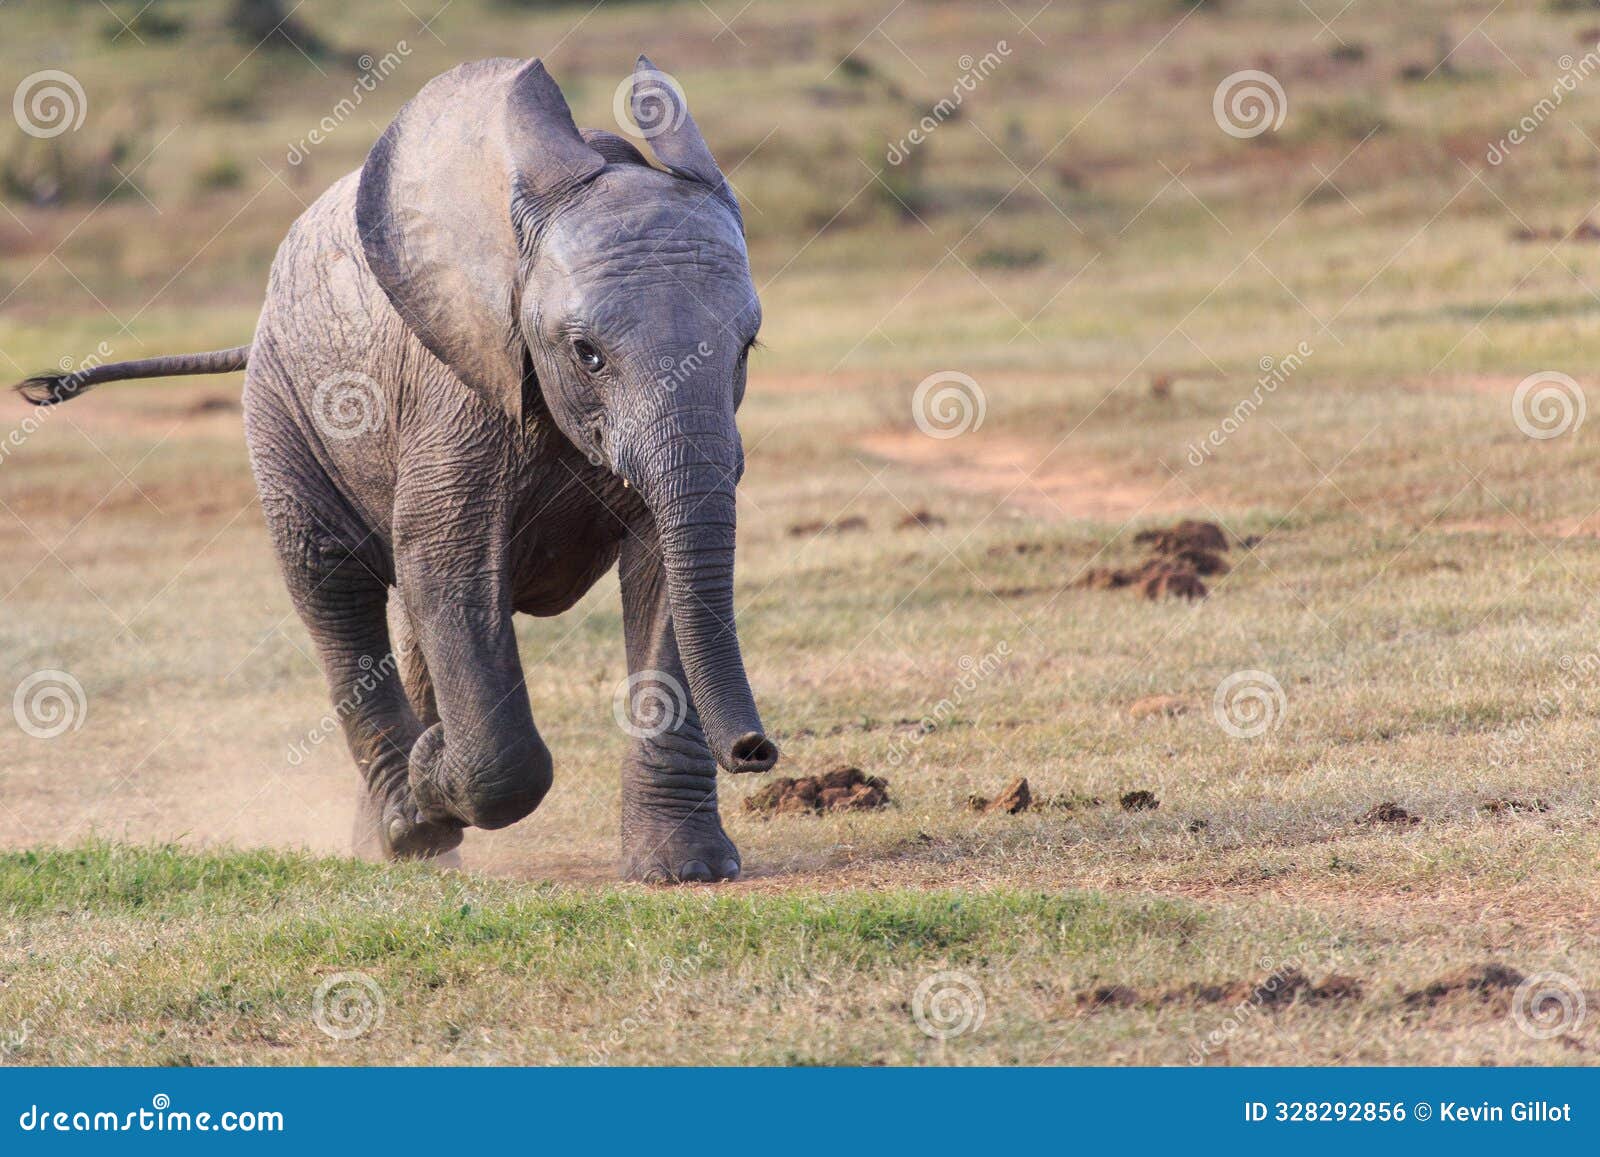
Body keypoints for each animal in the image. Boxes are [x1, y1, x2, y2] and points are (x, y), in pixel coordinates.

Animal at [14, 55, 780, 883]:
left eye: (746, 348)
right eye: (587, 354)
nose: (755, 749)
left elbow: (663, 572)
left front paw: (686, 871)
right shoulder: (458, 390)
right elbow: (449, 565)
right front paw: (430, 778)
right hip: (283, 407)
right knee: (331, 581)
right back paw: (407, 825)